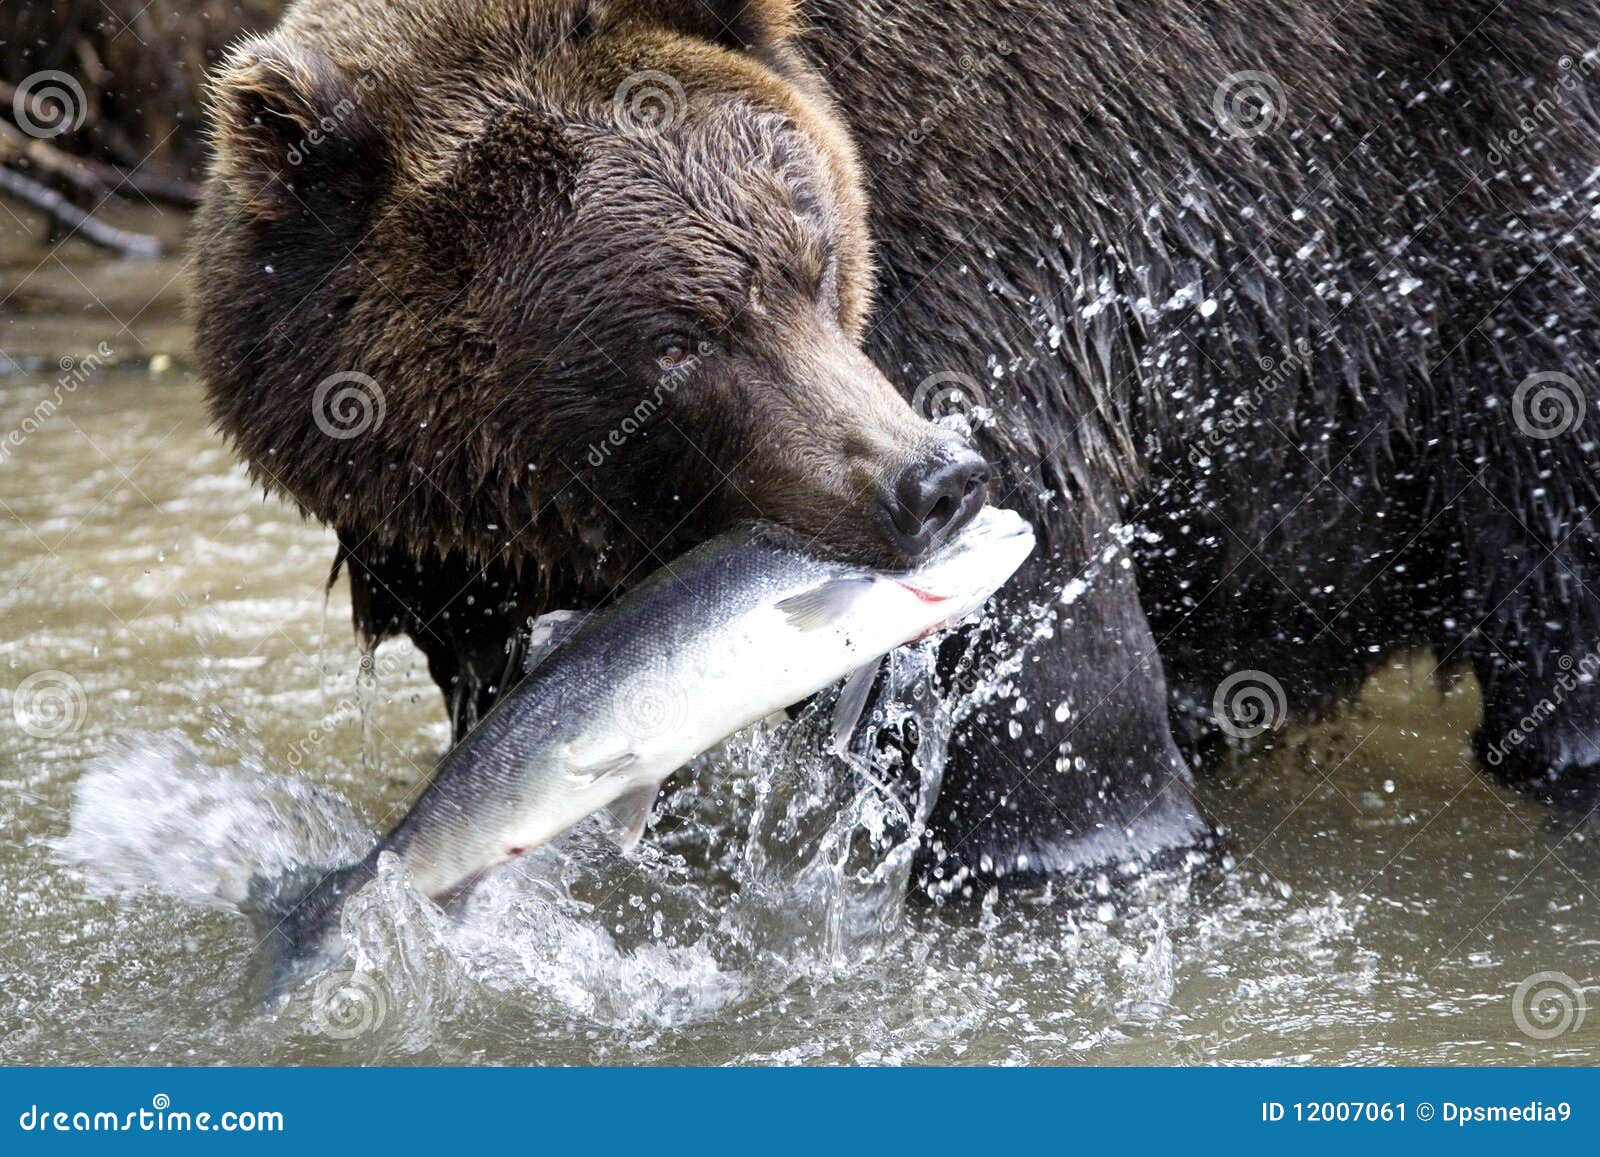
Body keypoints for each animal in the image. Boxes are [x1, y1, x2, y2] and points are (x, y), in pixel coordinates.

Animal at [194, 0, 1600, 895]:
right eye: (675, 340)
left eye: (810, 261)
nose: (932, 481)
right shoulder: (461, 564)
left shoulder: (1002, 293)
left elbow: (1055, 720)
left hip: (1495, 214)